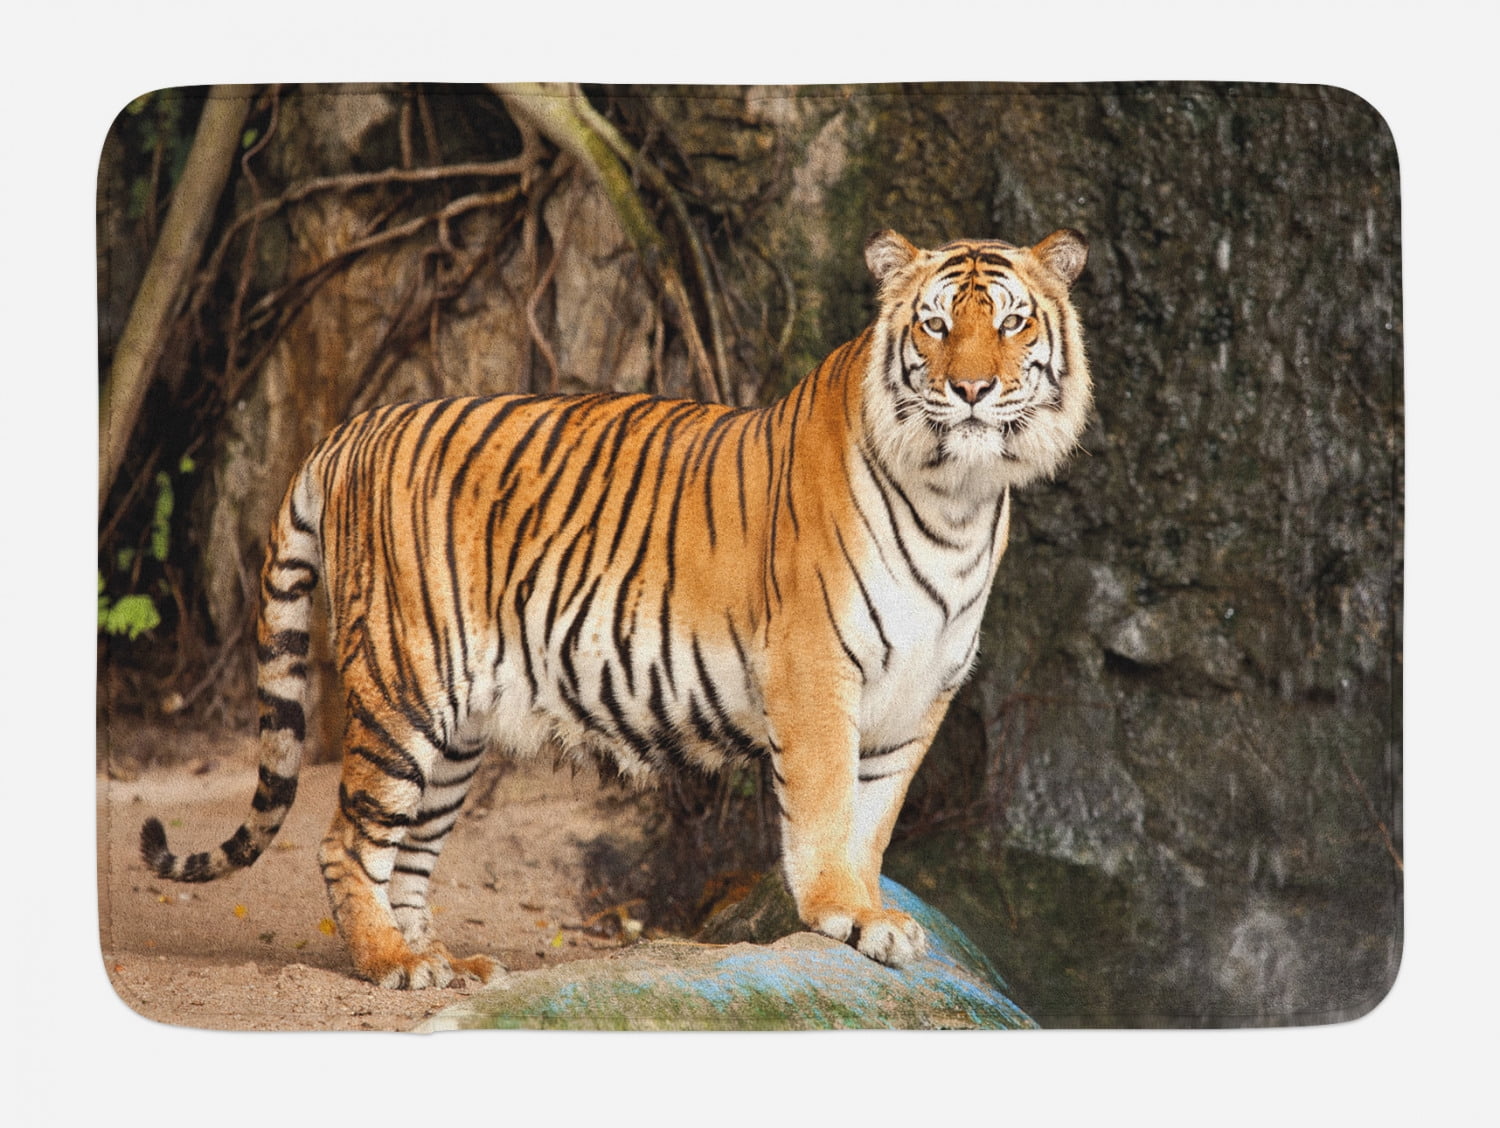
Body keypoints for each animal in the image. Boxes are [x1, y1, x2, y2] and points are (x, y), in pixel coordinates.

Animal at [141, 227, 1091, 989]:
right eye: (936, 325)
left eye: (1012, 323)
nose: (971, 390)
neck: (959, 498)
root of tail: (352, 429)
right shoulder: (817, 668)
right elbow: (825, 808)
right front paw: (843, 915)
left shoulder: (922, 691)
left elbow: (873, 821)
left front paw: (870, 914)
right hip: (404, 684)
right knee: (348, 840)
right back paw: (391, 965)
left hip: (457, 730)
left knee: (408, 855)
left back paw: (439, 959)